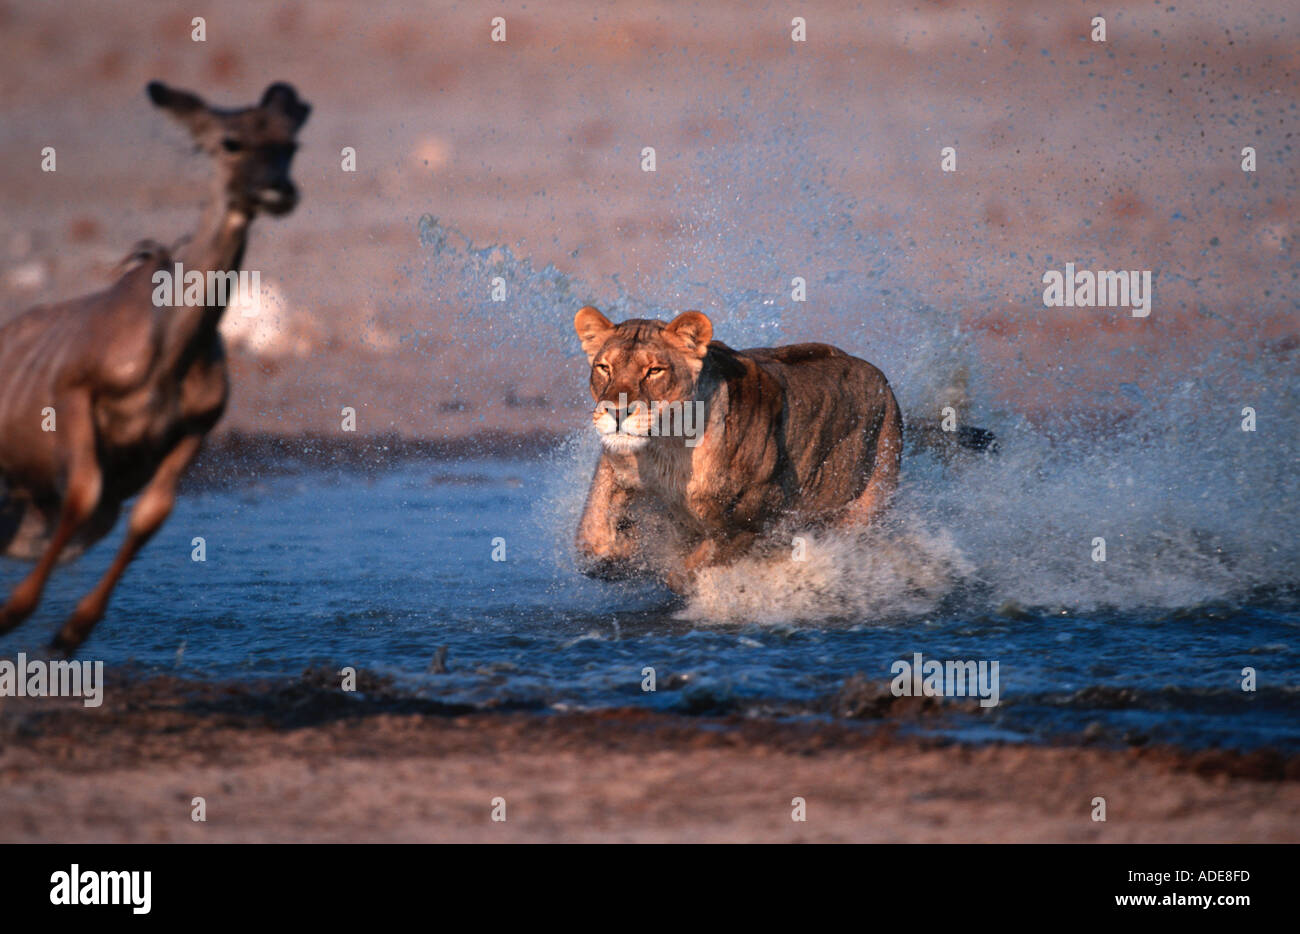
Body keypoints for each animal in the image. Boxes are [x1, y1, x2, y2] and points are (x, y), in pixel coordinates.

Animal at [572, 306, 910, 593]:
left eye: (654, 370)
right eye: (604, 367)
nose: (616, 412)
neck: (665, 446)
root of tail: (882, 380)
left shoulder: (753, 515)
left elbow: (691, 567)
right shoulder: (617, 461)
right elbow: (591, 534)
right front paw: (618, 550)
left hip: (864, 505)